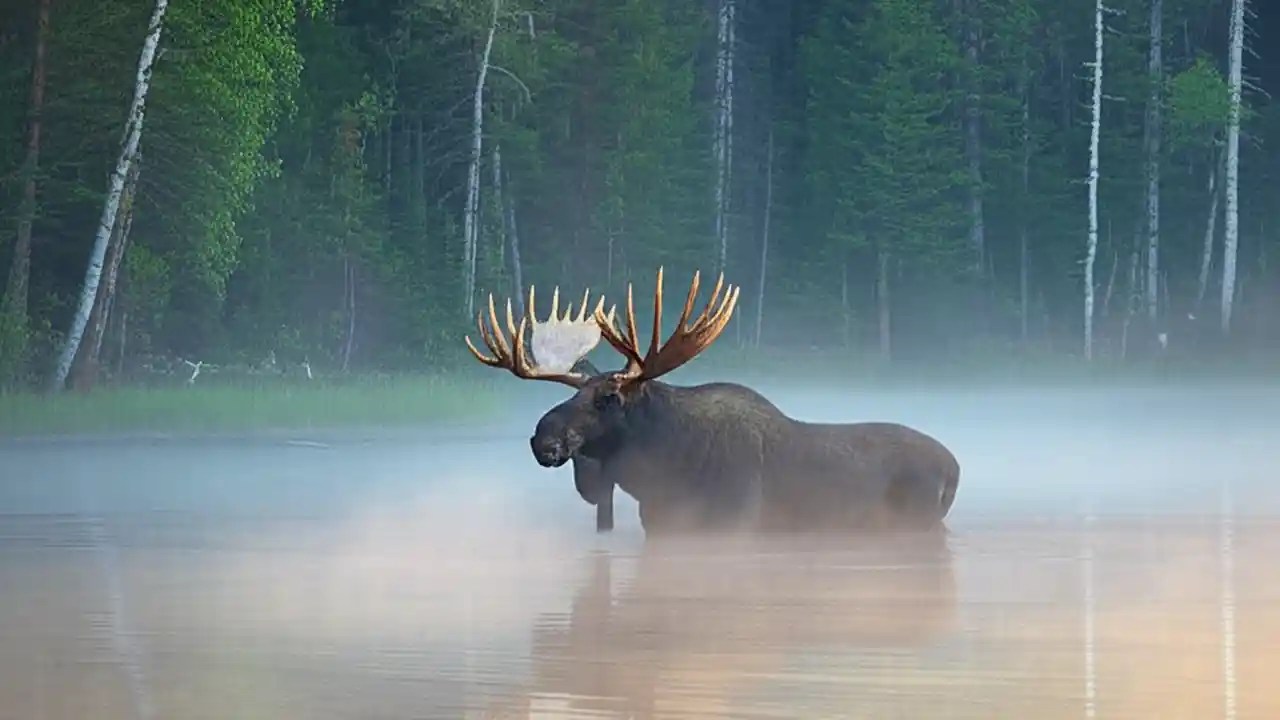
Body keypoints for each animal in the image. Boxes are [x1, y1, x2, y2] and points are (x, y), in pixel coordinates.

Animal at [464, 268, 960, 536]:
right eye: (572, 392)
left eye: (608, 397)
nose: (541, 437)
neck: (661, 469)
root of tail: (954, 467)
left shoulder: (732, 524)